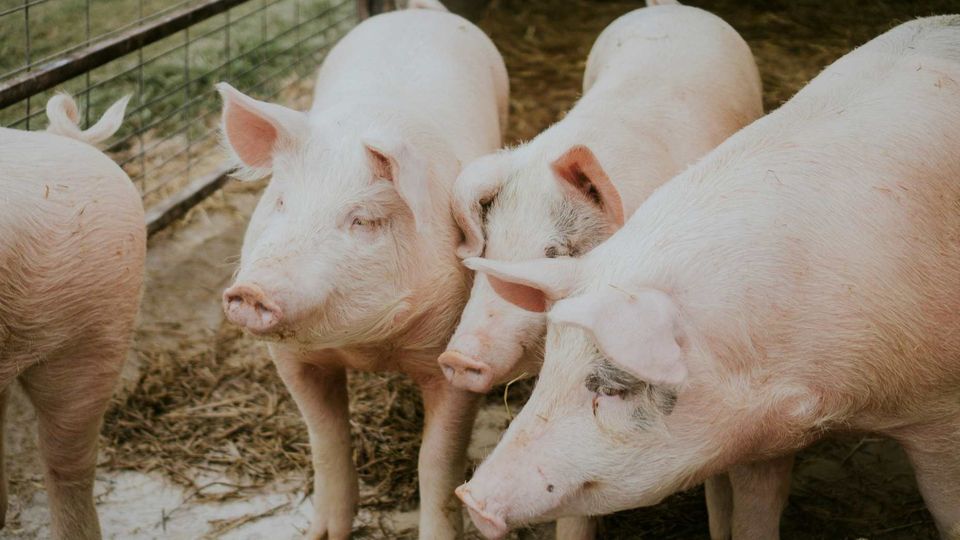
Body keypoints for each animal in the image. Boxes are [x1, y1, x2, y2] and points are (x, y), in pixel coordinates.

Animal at [216, 2, 508, 538]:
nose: (252, 290)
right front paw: (322, 534)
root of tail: (416, 12)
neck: (367, 348)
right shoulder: (290, 360)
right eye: (280, 202)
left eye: (363, 220)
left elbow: (438, 461)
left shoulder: (454, 356)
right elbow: (325, 441)